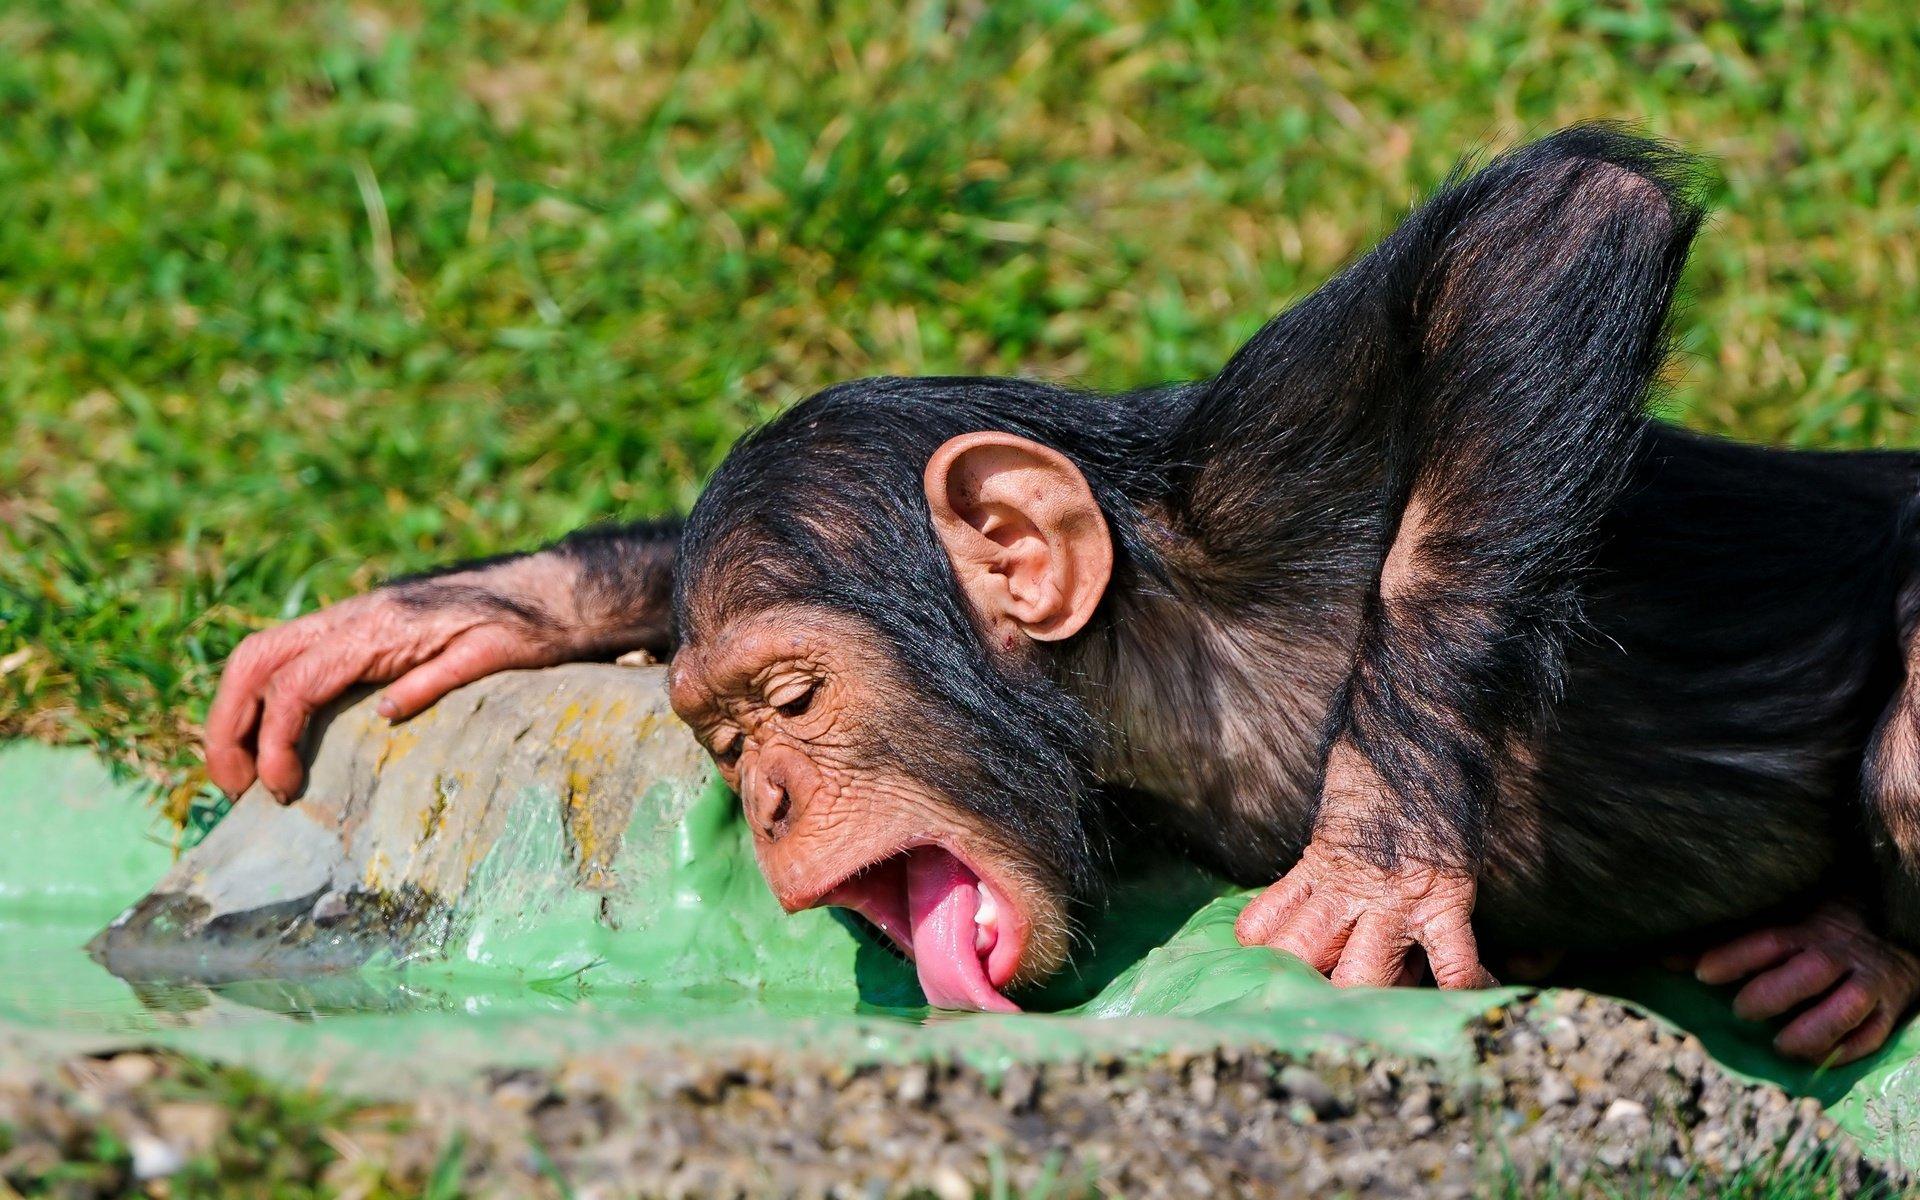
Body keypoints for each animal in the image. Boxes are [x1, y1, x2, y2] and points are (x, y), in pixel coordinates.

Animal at [205, 126, 1920, 1065]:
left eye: (790, 702)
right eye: (717, 739)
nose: (764, 800)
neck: (1146, 668)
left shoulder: (1272, 472)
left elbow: (1554, 230)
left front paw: (1372, 860)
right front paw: (466, 605)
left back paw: (1857, 954)